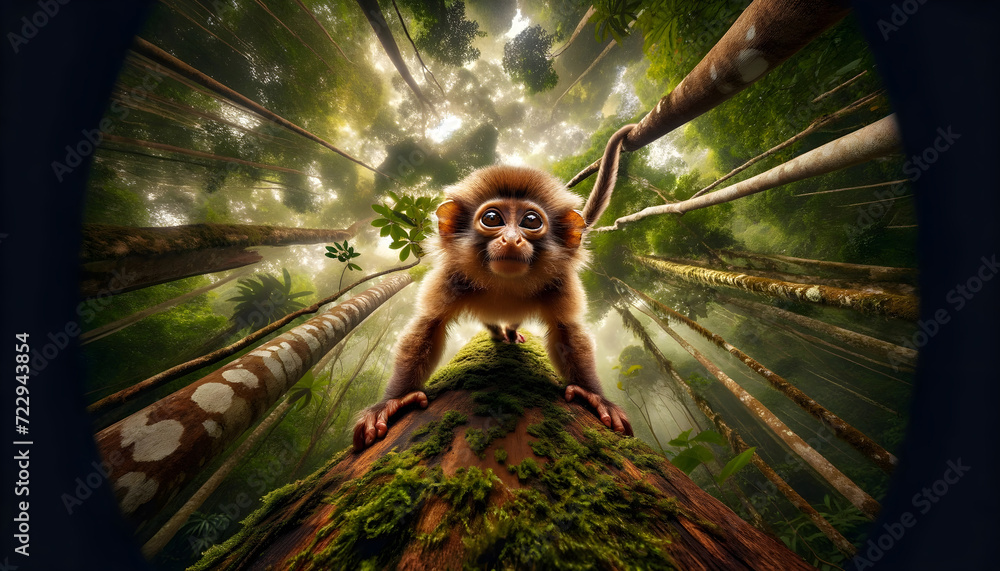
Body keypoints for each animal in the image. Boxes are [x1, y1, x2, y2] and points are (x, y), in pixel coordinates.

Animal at [353, 125, 637, 451]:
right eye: (492, 219)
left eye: (530, 221)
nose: (512, 239)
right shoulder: (451, 277)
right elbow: (429, 323)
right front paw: (395, 400)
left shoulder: (559, 283)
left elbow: (567, 330)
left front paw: (592, 395)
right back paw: (497, 333)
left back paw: (511, 333)